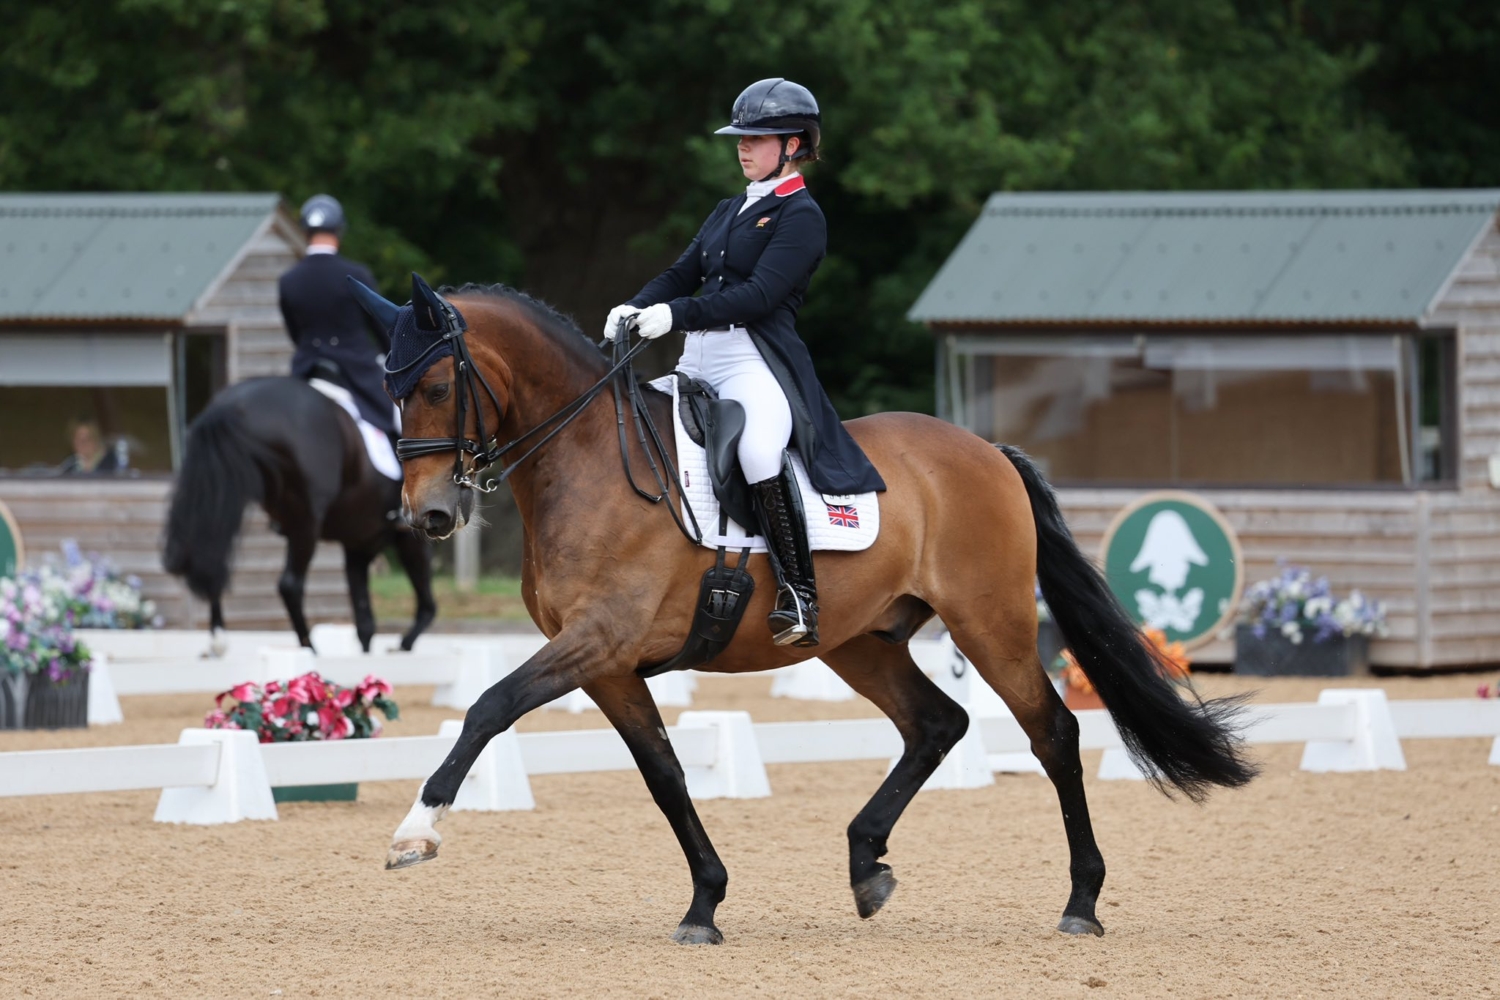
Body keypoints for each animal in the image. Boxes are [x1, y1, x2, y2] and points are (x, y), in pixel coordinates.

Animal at [162, 376, 436, 653]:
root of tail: (232, 403)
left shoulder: (358, 545)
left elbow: (365, 624)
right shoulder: (406, 537)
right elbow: (424, 605)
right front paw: (403, 645)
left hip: (228, 491)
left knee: (211, 554)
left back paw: (218, 639)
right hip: (305, 520)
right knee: (290, 585)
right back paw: (309, 649)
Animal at [369, 276, 1255, 945]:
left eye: (438, 386)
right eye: (391, 389)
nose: (427, 516)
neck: (589, 460)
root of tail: (987, 451)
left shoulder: (597, 640)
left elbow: (489, 707)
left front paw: (416, 831)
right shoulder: (609, 664)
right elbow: (664, 773)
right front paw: (705, 903)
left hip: (989, 622)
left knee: (1053, 733)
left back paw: (1081, 902)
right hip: (858, 641)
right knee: (936, 724)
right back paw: (867, 866)